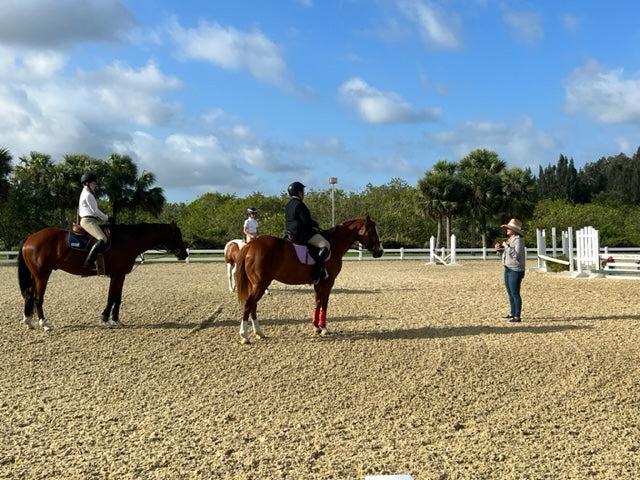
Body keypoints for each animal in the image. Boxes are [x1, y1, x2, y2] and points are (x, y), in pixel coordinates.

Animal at [17, 221, 188, 330]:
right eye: (176, 236)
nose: (184, 254)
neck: (127, 240)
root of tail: (30, 238)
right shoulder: (117, 275)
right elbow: (112, 297)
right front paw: (106, 319)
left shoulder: (120, 275)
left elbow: (118, 297)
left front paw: (116, 319)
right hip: (42, 275)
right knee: (38, 297)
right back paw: (44, 324)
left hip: (36, 276)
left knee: (29, 294)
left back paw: (28, 322)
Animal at [235, 215, 383, 344]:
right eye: (372, 231)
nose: (380, 251)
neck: (335, 243)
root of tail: (251, 245)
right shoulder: (328, 282)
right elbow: (324, 303)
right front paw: (324, 328)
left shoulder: (318, 282)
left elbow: (317, 302)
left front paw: (316, 327)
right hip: (261, 284)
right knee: (248, 304)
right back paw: (245, 336)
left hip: (255, 284)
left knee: (253, 305)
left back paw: (259, 333)